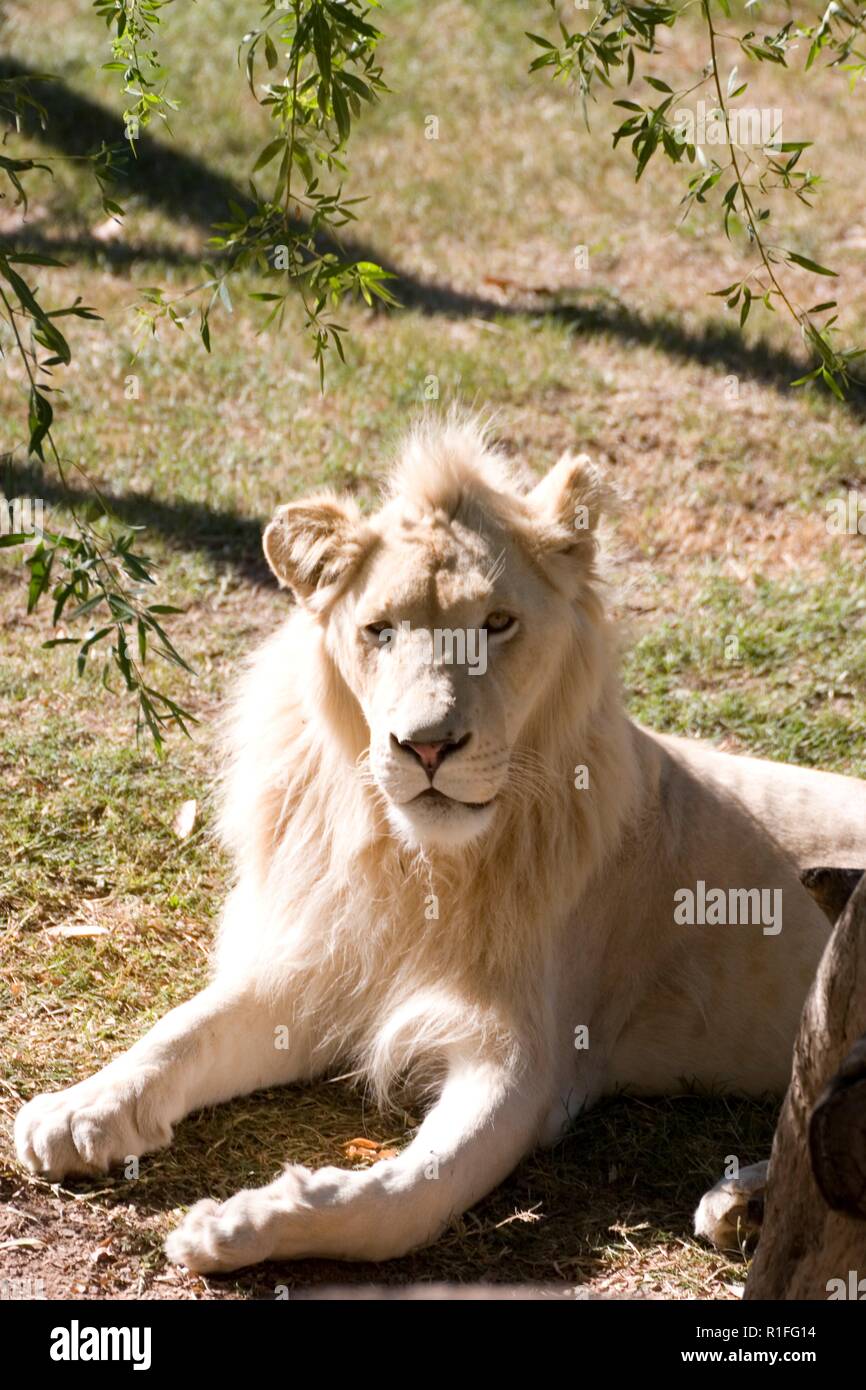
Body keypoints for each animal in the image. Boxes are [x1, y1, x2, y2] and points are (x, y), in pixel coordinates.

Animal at [15, 417, 866, 1273]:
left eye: (497, 624)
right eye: (380, 631)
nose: (427, 746)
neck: (418, 863)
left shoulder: (527, 1063)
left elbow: (404, 1197)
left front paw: (240, 1225)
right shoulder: (321, 968)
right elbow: (184, 1029)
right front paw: (76, 1110)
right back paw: (746, 1206)